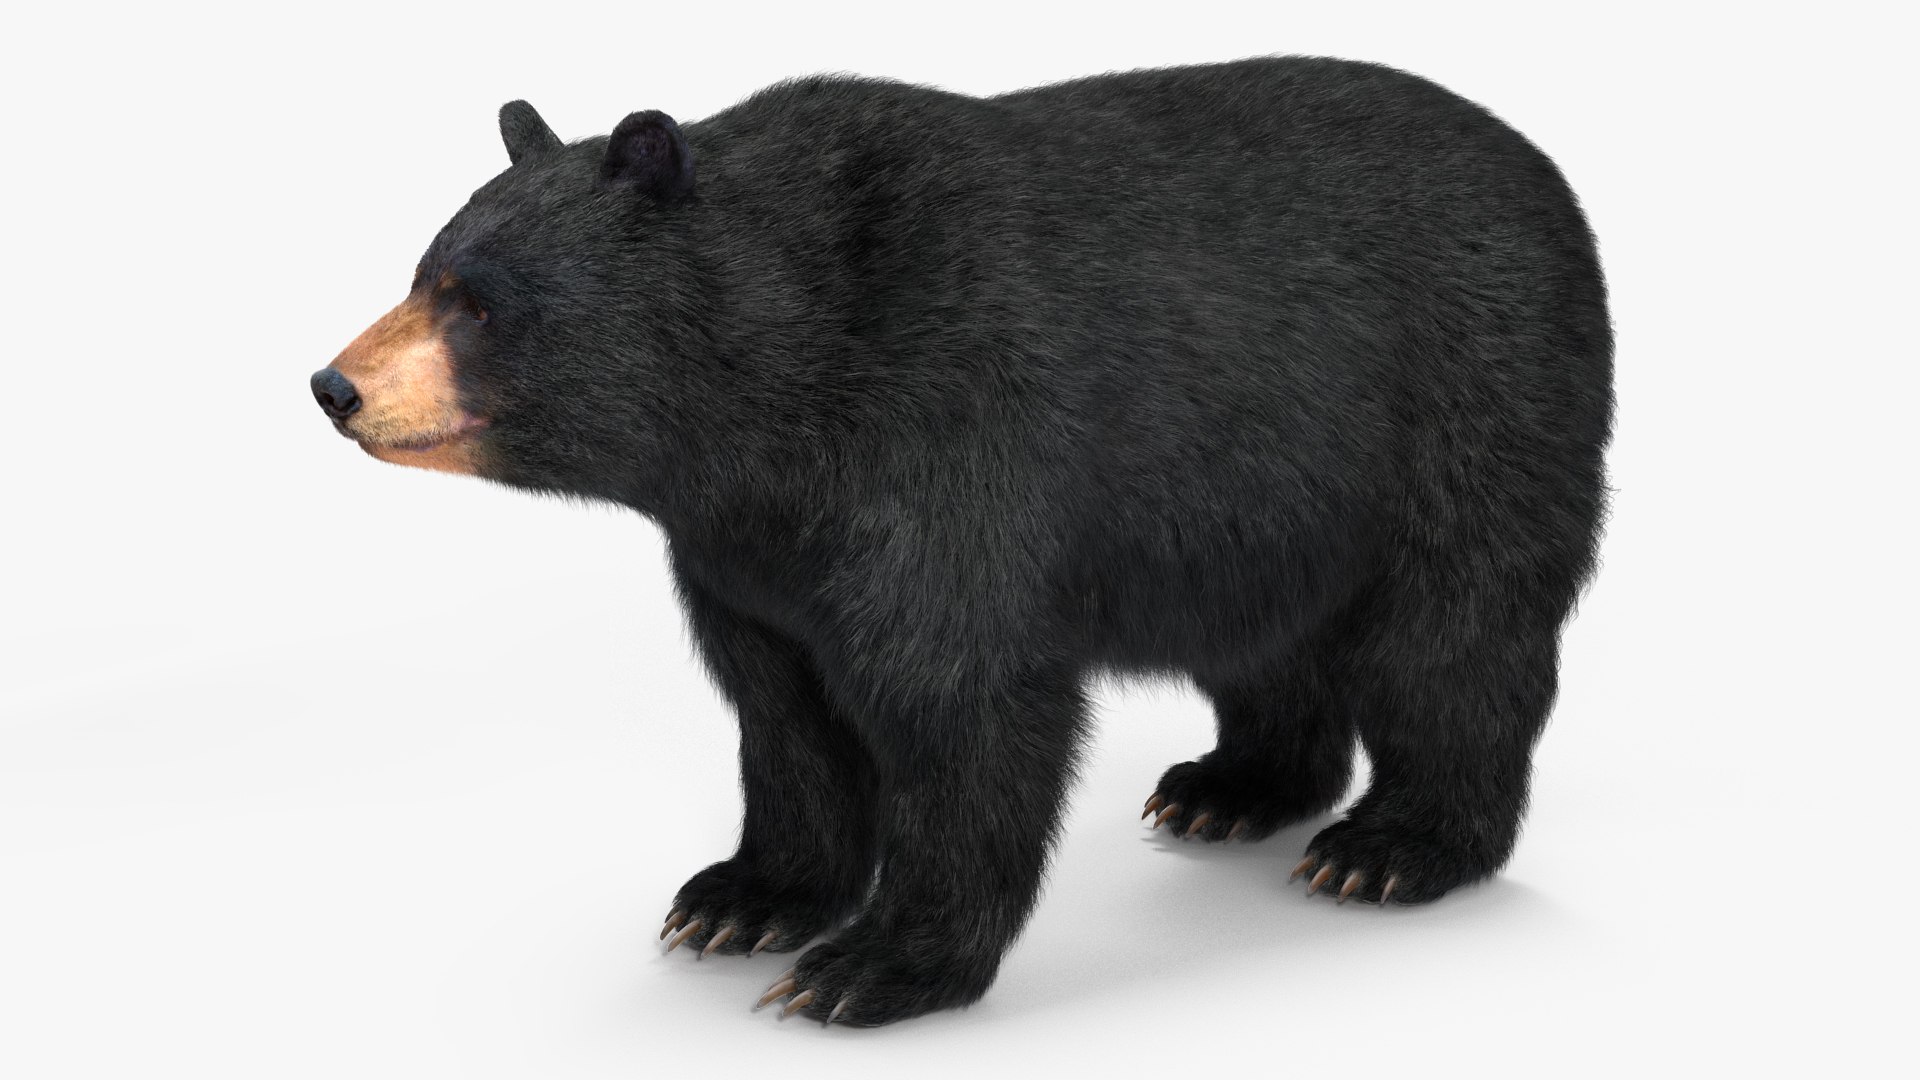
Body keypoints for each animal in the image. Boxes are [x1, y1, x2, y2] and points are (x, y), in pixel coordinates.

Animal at [311, 56, 1613, 1026]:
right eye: (423, 271)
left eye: (480, 301)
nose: (335, 386)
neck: (772, 394)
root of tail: (1544, 176)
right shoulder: (746, 544)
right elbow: (781, 709)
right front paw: (746, 899)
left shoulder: (947, 438)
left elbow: (962, 702)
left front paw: (874, 965)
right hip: (1266, 500)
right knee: (1271, 640)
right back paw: (1235, 788)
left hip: (1474, 403)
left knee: (1453, 637)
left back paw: (1395, 847)